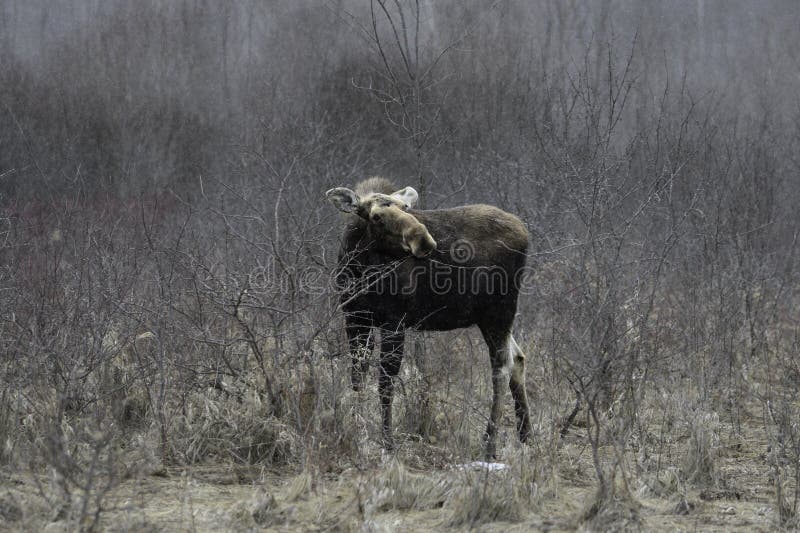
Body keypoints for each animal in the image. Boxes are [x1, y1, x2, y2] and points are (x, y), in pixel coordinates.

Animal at [326, 177, 531, 459]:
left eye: (406, 207)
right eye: (376, 216)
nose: (424, 241)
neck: (360, 267)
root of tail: (526, 234)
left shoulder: (395, 321)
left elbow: (385, 384)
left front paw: (387, 444)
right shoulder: (355, 318)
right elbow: (357, 378)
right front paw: (359, 434)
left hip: (499, 312)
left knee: (501, 368)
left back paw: (490, 444)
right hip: (490, 317)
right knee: (518, 357)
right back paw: (526, 437)